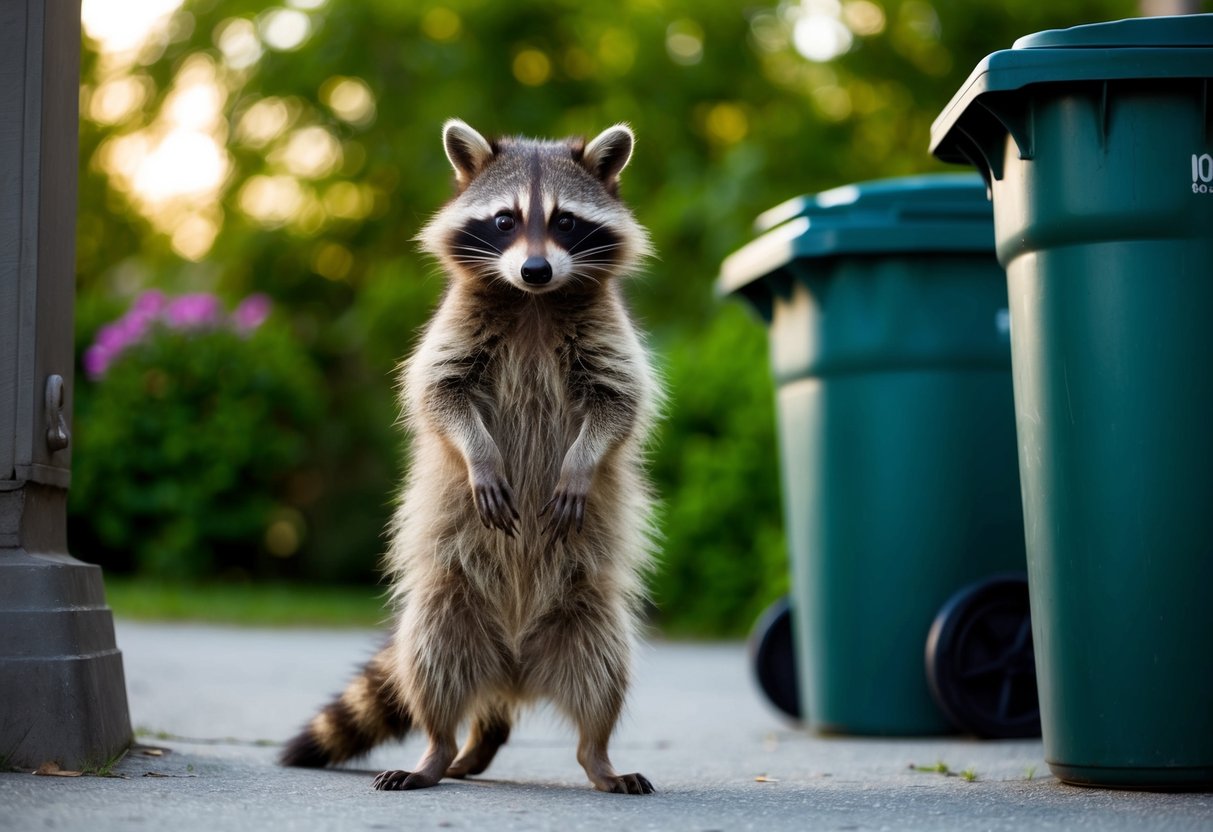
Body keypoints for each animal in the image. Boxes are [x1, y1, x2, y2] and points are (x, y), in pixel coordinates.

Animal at [280, 120, 661, 795]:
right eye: (505, 220)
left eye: (565, 222)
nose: (535, 269)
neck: (534, 301)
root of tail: (513, 671)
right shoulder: (454, 328)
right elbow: (440, 395)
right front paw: (479, 453)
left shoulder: (608, 336)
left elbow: (620, 405)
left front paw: (580, 462)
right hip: (448, 602)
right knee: (431, 665)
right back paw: (440, 750)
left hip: (588, 613)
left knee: (603, 674)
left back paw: (597, 754)